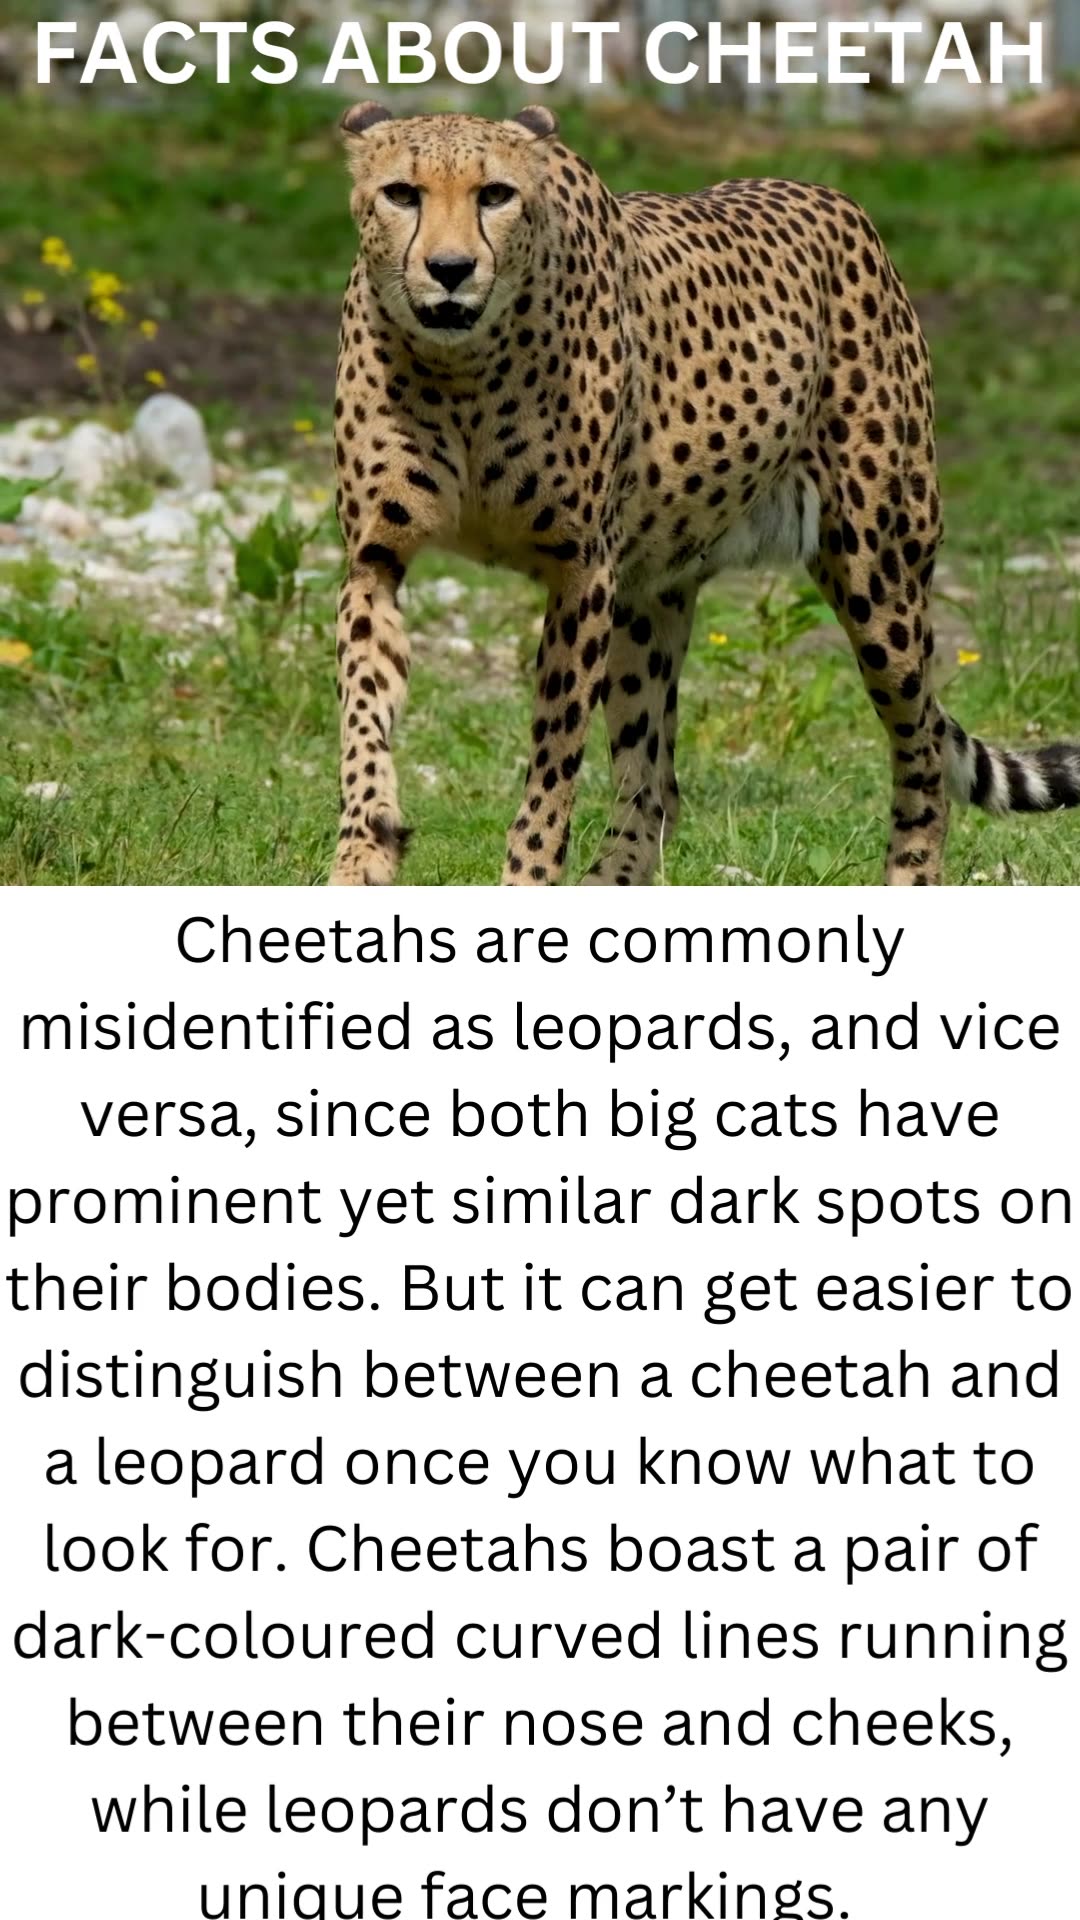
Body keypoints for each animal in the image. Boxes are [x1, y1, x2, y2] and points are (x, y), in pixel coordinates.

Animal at [330, 101, 1080, 887]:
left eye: (495, 194)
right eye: (402, 193)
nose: (450, 270)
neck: (461, 367)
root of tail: (835, 201)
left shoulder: (582, 574)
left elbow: (553, 762)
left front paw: (526, 879)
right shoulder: (375, 559)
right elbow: (363, 709)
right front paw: (363, 848)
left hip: (880, 576)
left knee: (923, 751)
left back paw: (910, 874)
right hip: (648, 601)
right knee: (655, 780)